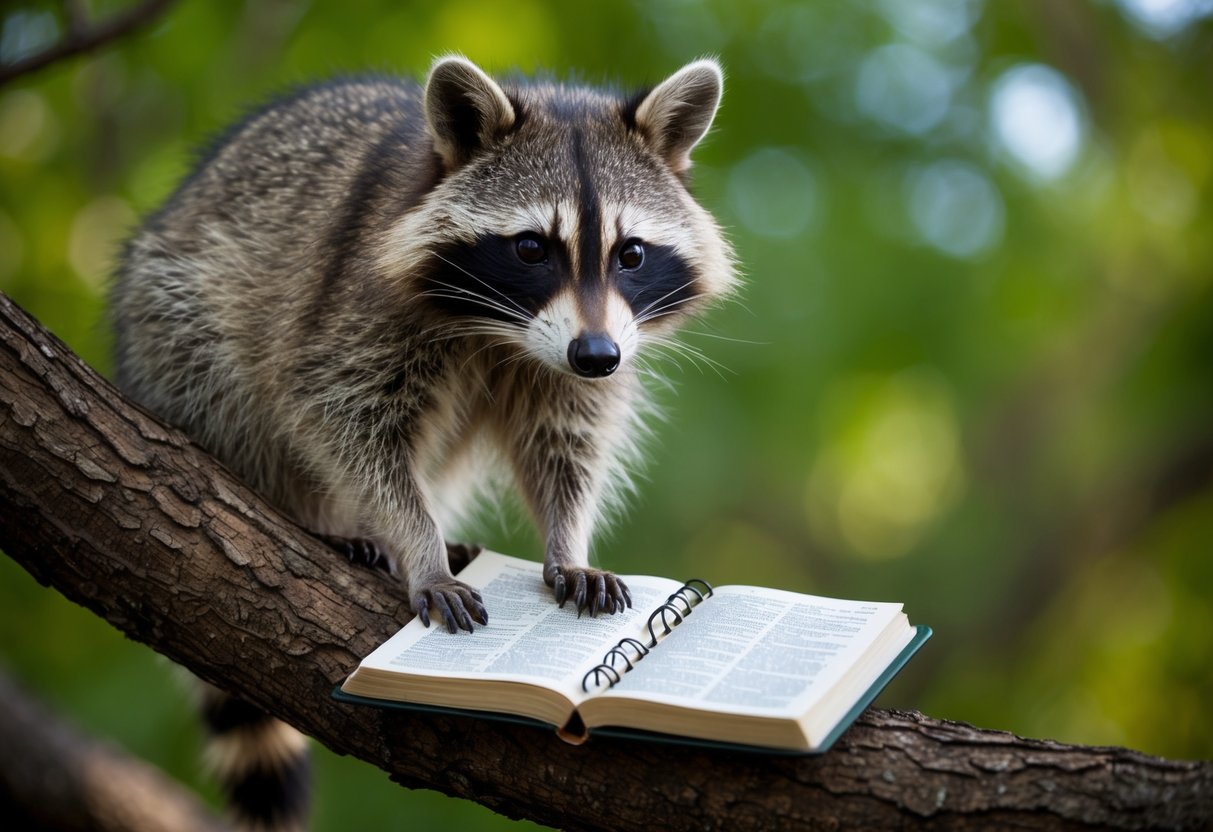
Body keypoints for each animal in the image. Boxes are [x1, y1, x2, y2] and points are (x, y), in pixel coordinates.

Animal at [112, 56, 735, 829]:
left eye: (632, 254)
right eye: (531, 248)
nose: (595, 356)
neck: (504, 333)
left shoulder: (596, 350)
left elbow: (566, 444)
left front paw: (566, 540)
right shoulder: (351, 302)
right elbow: (341, 419)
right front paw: (418, 542)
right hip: (173, 317)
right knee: (218, 373)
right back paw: (320, 518)